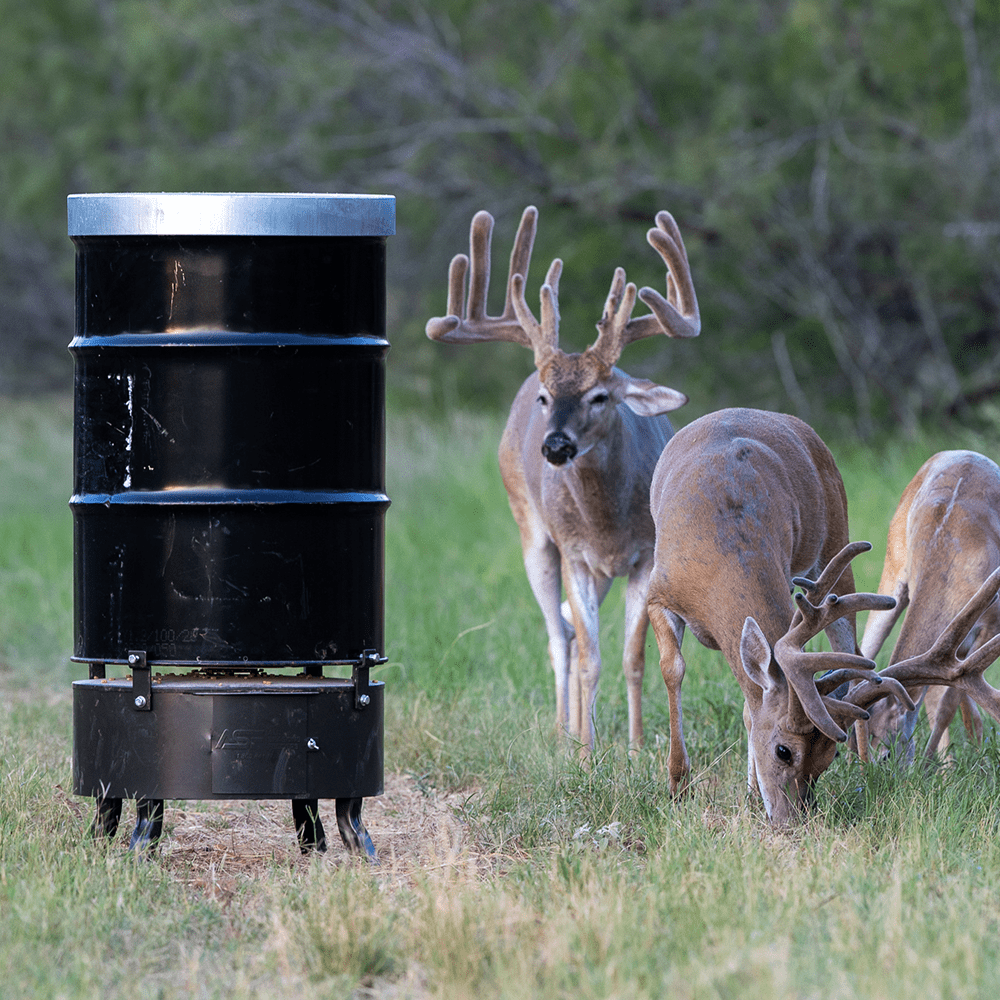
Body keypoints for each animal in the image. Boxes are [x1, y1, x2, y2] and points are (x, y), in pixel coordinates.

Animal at [426, 204, 700, 754]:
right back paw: (563, 733)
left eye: (600, 396)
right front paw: (589, 754)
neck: (608, 523)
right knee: (560, 637)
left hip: (595, 570)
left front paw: (635, 748)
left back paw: (575, 729)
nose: (554, 446)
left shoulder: (645, 555)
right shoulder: (574, 550)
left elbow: (632, 658)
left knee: (571, 631)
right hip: (532, 531)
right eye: (546, 397)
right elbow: (592, 657)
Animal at [858, 450, 1000, 762]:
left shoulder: (992, 621)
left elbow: (948, 702)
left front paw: (928, 763)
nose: (867, 773)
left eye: (885, 754)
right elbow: (945, 699)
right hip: (892, 570)